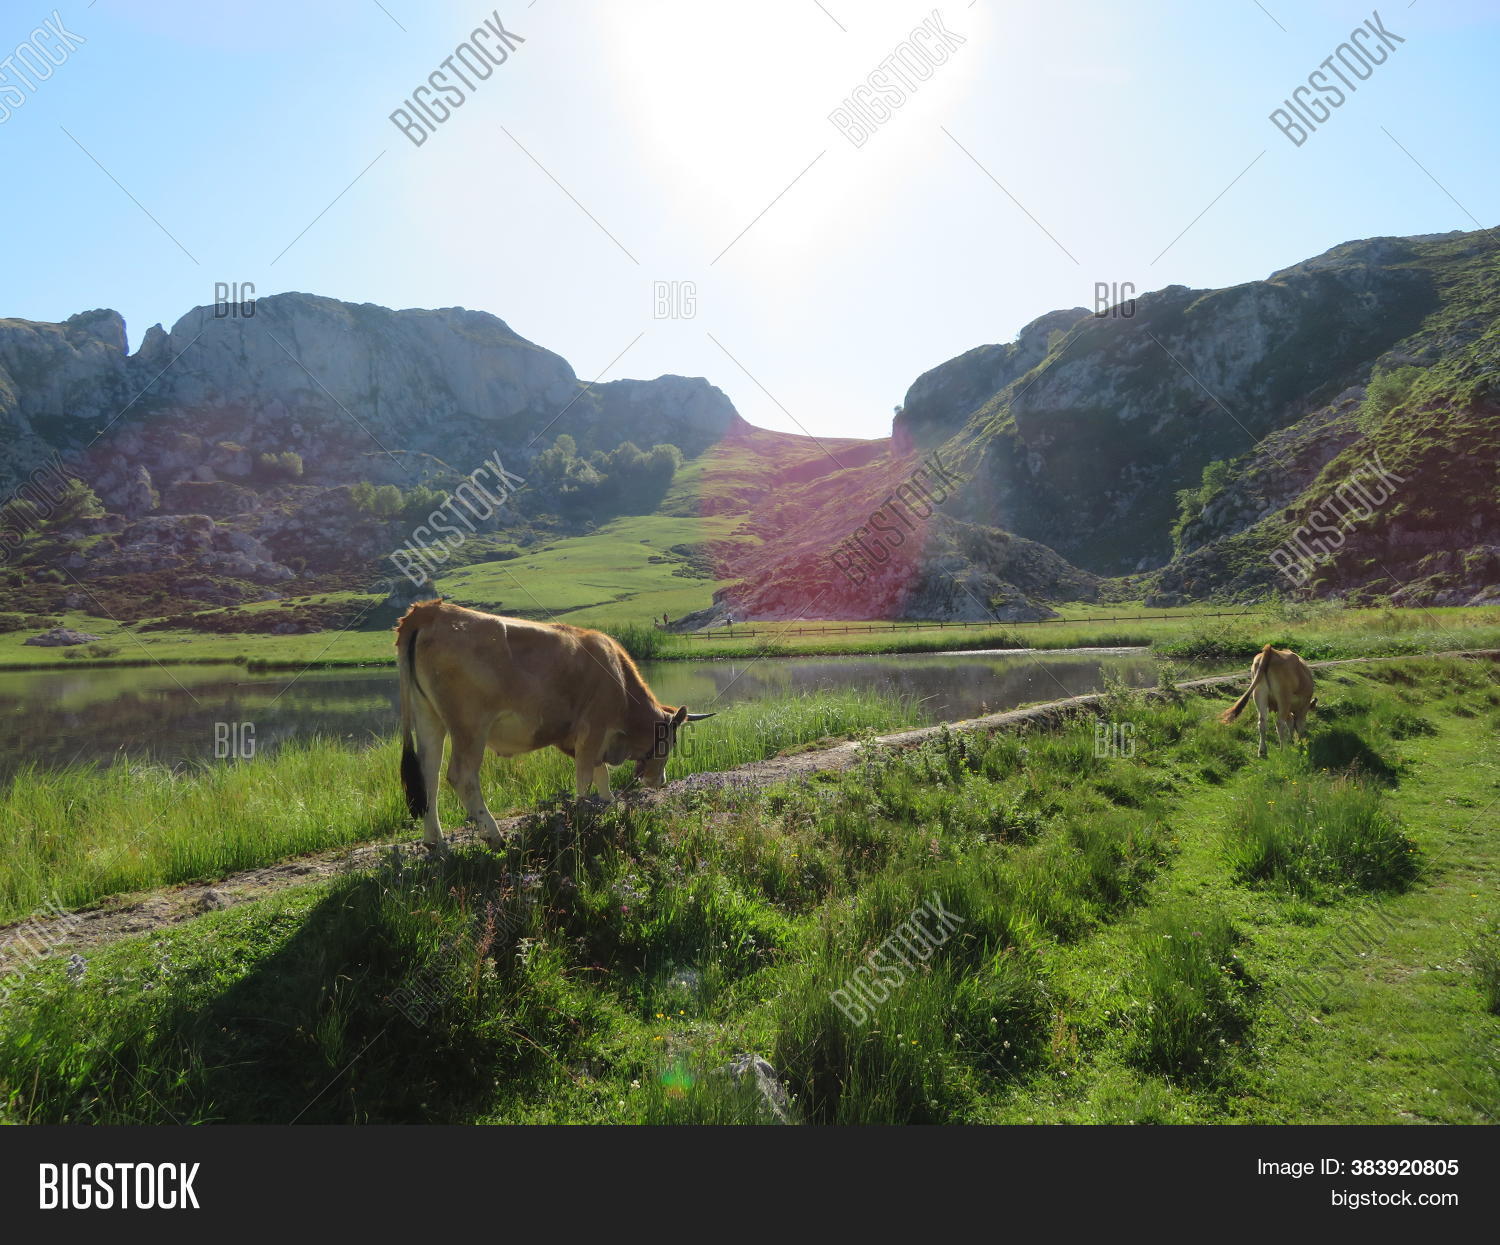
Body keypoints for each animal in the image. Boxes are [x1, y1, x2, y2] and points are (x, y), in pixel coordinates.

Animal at [395, 599, 713, 849]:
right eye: (672, 741)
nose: (660, 781)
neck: (621, 682)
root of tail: (429, 610)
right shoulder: (593, 730)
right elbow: (586, 776)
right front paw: (584, 816)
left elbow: (601, 775)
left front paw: (608, 804)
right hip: (470, 726)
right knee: (462, 775)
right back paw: (494, 836)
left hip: (429, 718)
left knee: (429, 774)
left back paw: (435, 840)